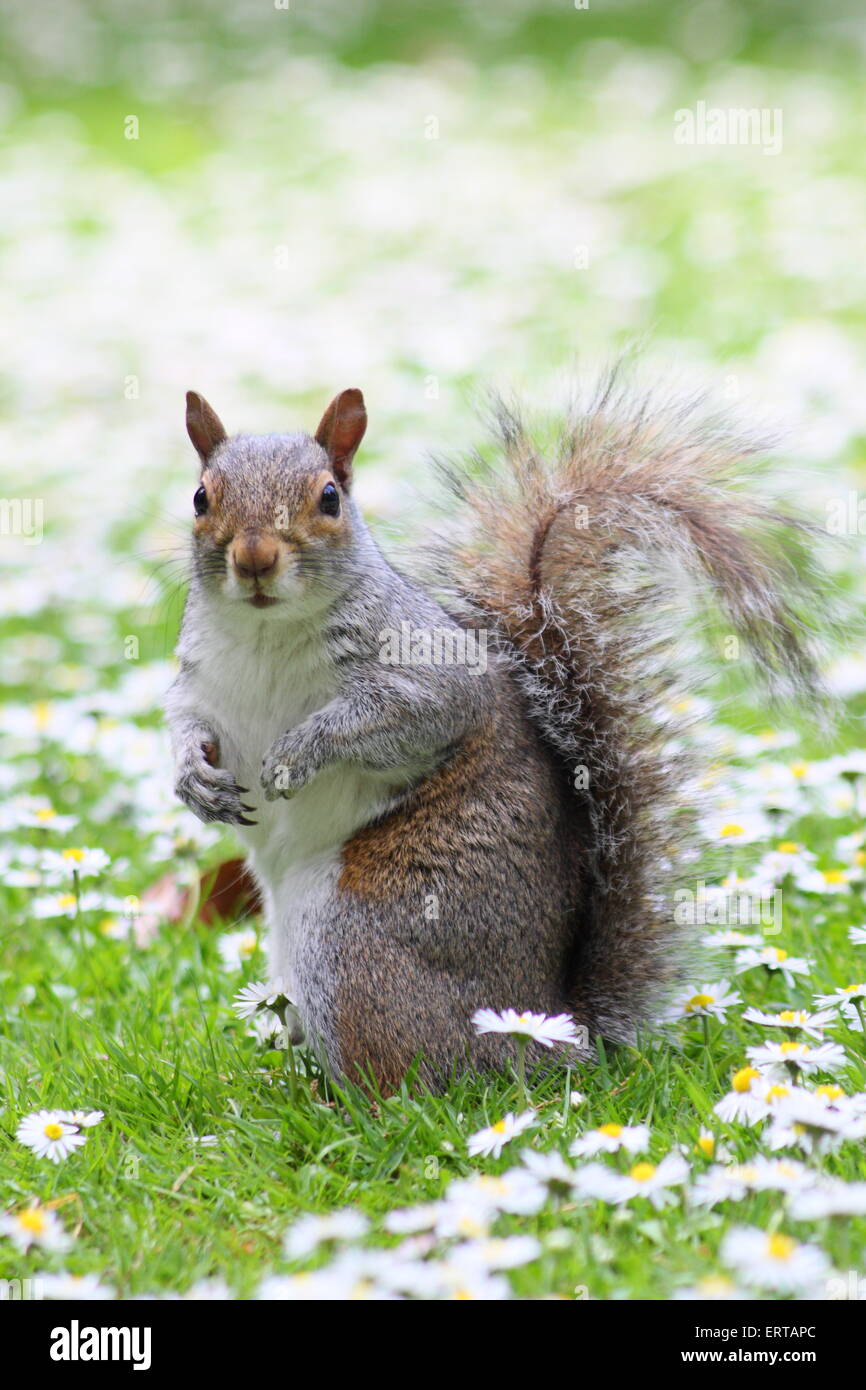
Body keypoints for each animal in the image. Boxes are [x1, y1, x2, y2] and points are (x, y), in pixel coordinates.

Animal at [166, 371, 822, 1091]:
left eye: (330, 498)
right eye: (200, 497)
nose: (254, 559)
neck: (266, 631)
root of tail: (550, 1028)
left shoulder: (429, 677)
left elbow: (395, 717)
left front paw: (298, 752)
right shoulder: (199, 682)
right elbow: (183, 723)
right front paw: (192, 779)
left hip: (354, 940)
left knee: (407, 1081)